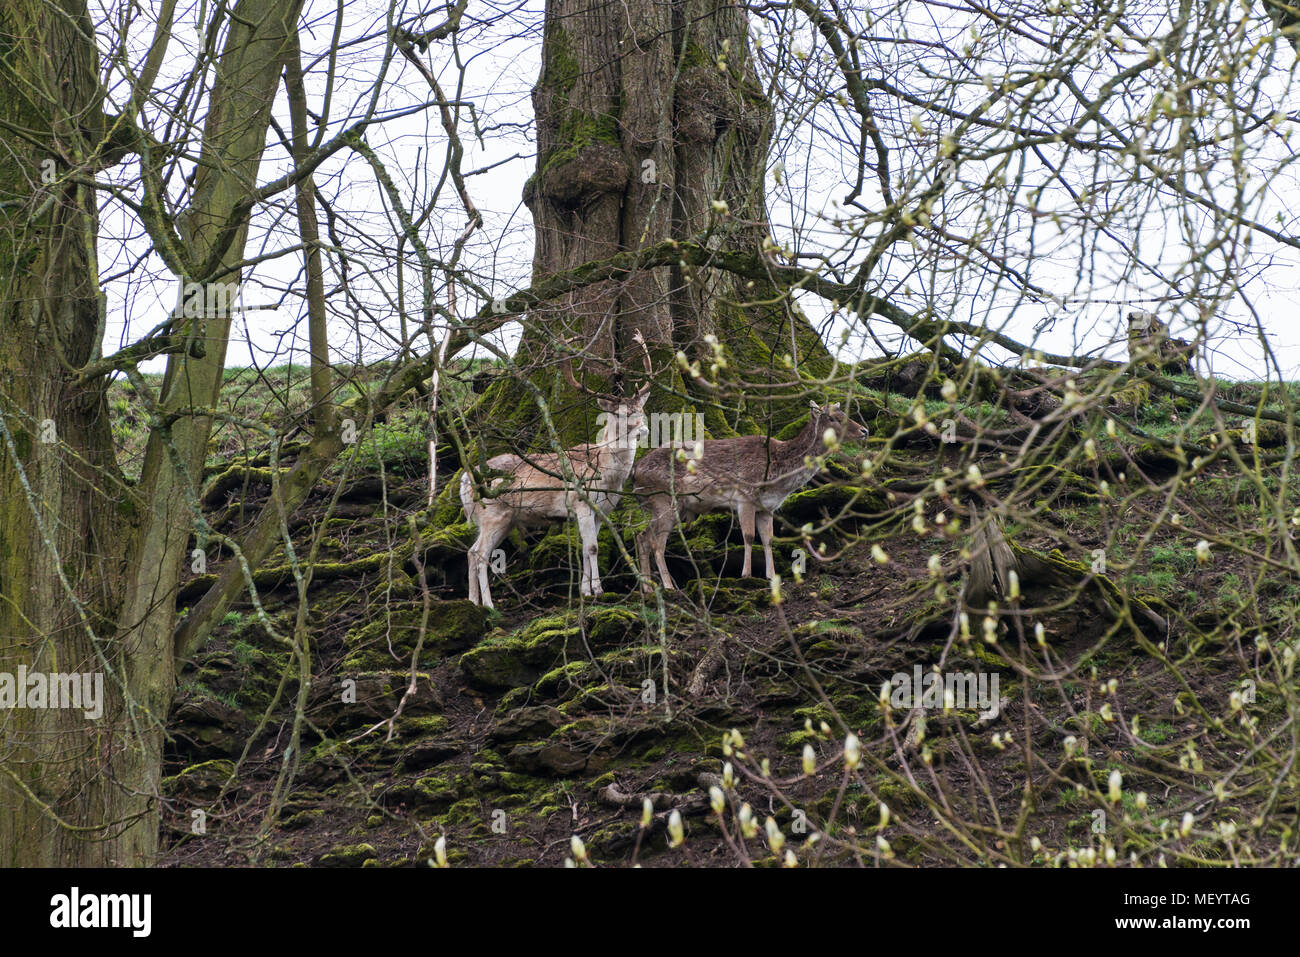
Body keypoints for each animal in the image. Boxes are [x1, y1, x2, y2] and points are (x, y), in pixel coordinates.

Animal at [459, 333, 653, 608]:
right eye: (620, 414)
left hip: (499, 519)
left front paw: (585, 591)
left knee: (470, 551)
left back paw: (473, 601)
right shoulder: (582, 502)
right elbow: (592, 547)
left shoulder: (601, 511)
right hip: (493, 514)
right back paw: (488, 605)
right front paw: (598, 590)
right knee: (479, 554)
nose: (643, 430)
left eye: (641, 410)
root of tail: (464, 480)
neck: (607, 477)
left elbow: (586, 547)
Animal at [633, 400, 869, 591]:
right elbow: (748, 536)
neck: (778, 478)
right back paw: (667, 586)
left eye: (845, 413)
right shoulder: (744, 496)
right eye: (833, 418)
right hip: (664, 499)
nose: (865, 430)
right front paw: (746, 574)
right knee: (656, 543)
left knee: (642, 536)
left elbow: (768, 539)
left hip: (664, 505)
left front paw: (771, 576)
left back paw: (647, 588)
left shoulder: (767, 507)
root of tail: (634, 474)